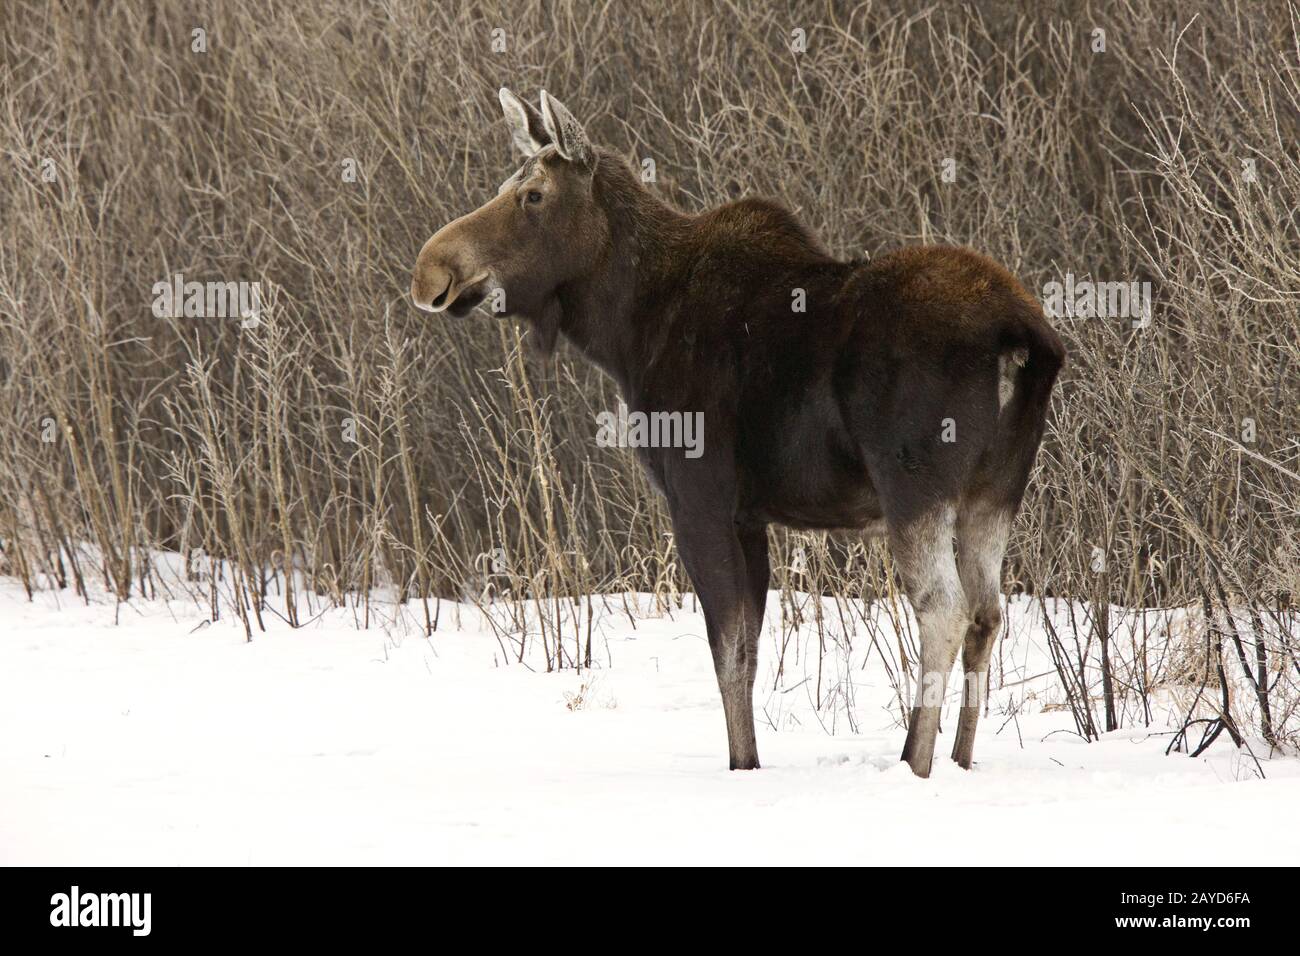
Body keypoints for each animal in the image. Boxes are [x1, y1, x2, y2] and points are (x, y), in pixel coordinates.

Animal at [411, 89, 1065, 777]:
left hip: (914, 485)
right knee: (988, 611)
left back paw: (914, 761)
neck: (627, 331)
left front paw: (741, 766)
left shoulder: (699, 497)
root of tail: (1023, 335)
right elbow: (749, 650)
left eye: (533, 194)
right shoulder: (751, 514)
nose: (431, 270)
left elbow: (727, 651)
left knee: (943, 609)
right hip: (996, 492)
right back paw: (962, 761)